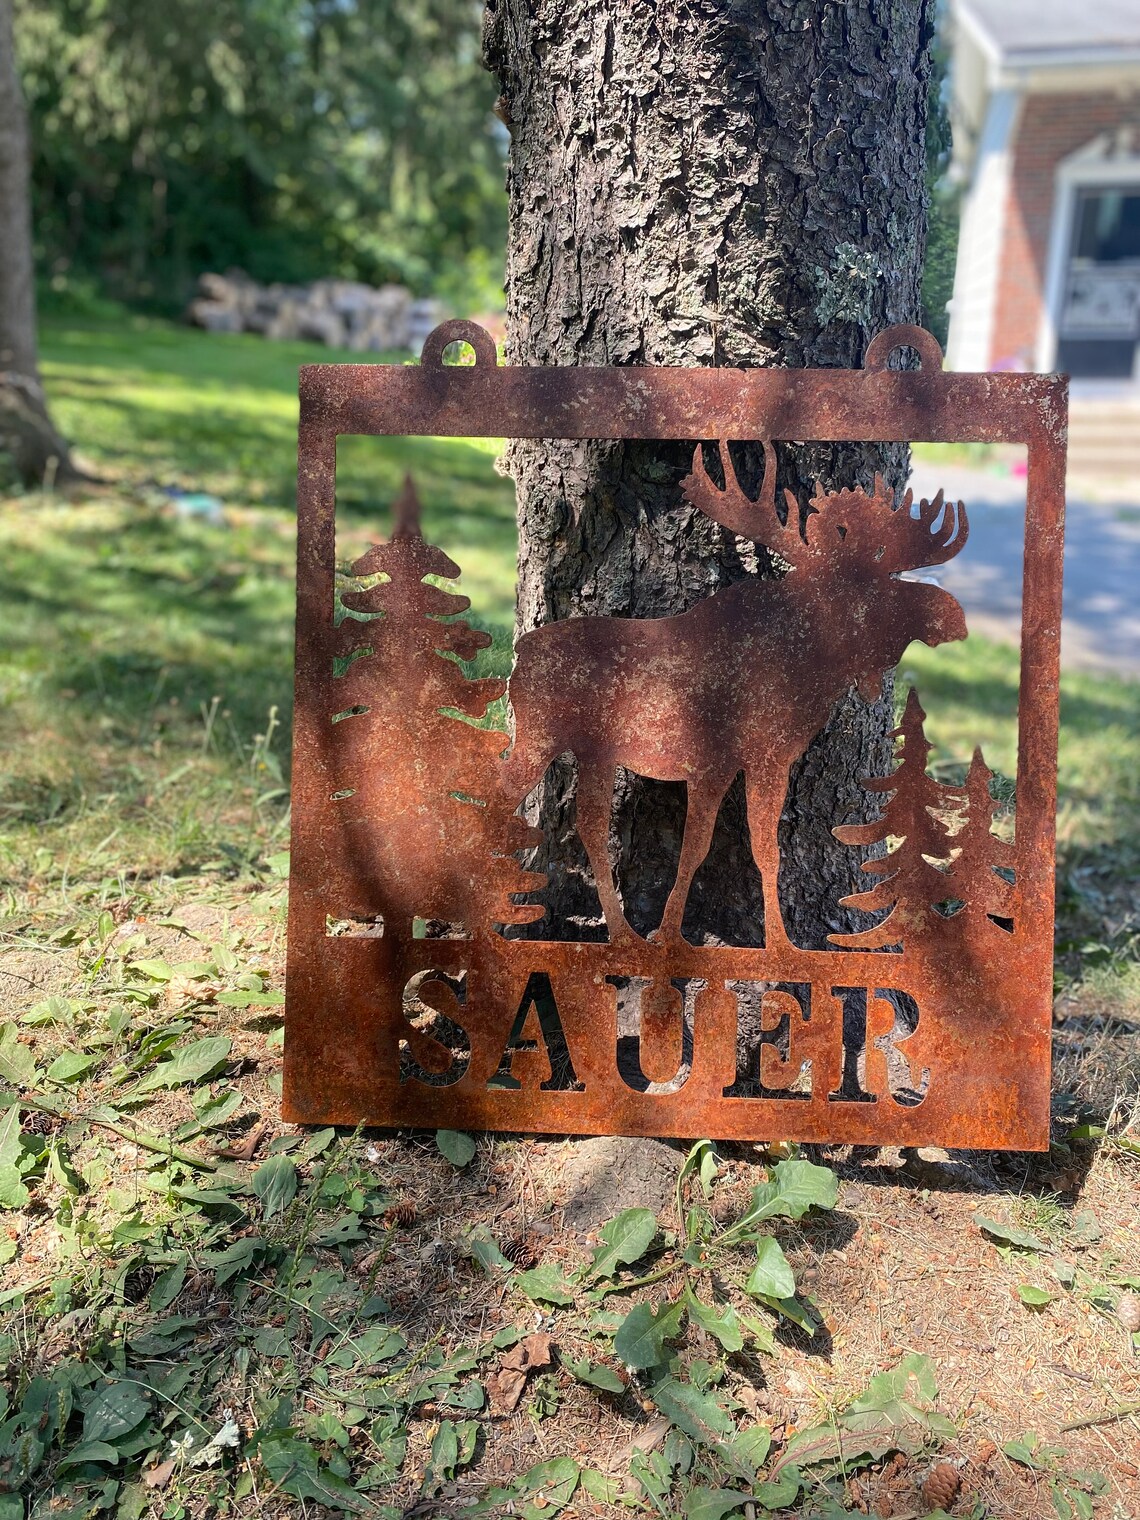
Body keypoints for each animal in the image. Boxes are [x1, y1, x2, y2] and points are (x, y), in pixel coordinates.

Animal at [502, 441, 969, 947]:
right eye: (870, 587)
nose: (951, 615)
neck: (809, 670)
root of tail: (520, 652)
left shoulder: (755, 759)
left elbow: (741, 849)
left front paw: (717, 938)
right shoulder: (729, 757)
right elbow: (717, 848)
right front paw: (701, 939)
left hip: (596, 753)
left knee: (586, 825)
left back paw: (622, 934)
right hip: (539, 737)